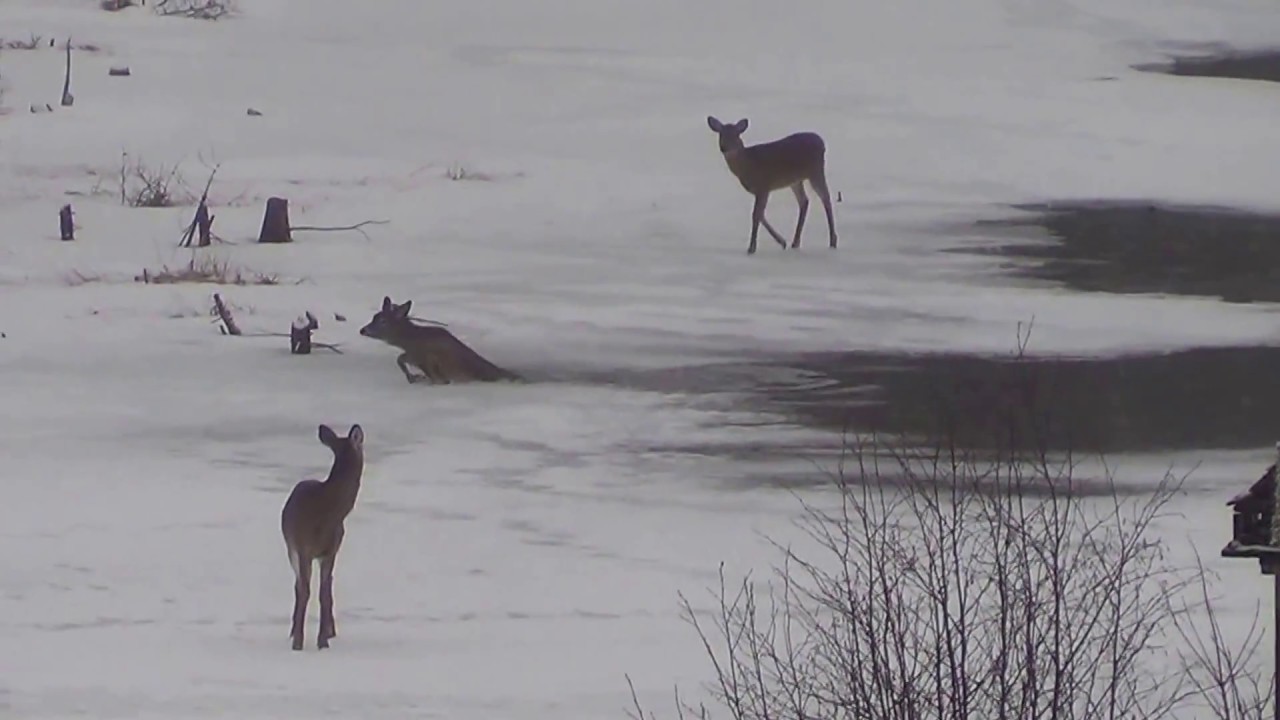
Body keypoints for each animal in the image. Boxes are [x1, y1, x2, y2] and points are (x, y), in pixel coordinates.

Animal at [280, 423, 365, 651]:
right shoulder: (303, 547)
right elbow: (305, 591)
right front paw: (298, 642)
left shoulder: (330, 551)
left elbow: (323, 594)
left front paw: (322, 640)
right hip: (291, 549)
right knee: (298, 586)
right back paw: (293, 630)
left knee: (327, 587)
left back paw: (330, 630)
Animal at [359, 296, 523, 384]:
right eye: (374, 317)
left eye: (383, 321)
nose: (363, 330)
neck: (412, 339)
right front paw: (413, 377)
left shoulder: (424, 357)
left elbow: (402, 359)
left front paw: (414, 378)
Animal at [706, 116, 838, 255]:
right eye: (721, 134)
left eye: (736, 135)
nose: (724, 148)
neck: (746, 163)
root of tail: (822, 142)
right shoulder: (763, 190)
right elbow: (760, 214)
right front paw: (782, 242)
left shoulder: (763, 186)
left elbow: (756, 215)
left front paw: (751, 248)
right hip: (795, 180)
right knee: (804, 201)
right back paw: (795, 242)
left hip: (815, 171)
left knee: (825, 198)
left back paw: (833, 241)